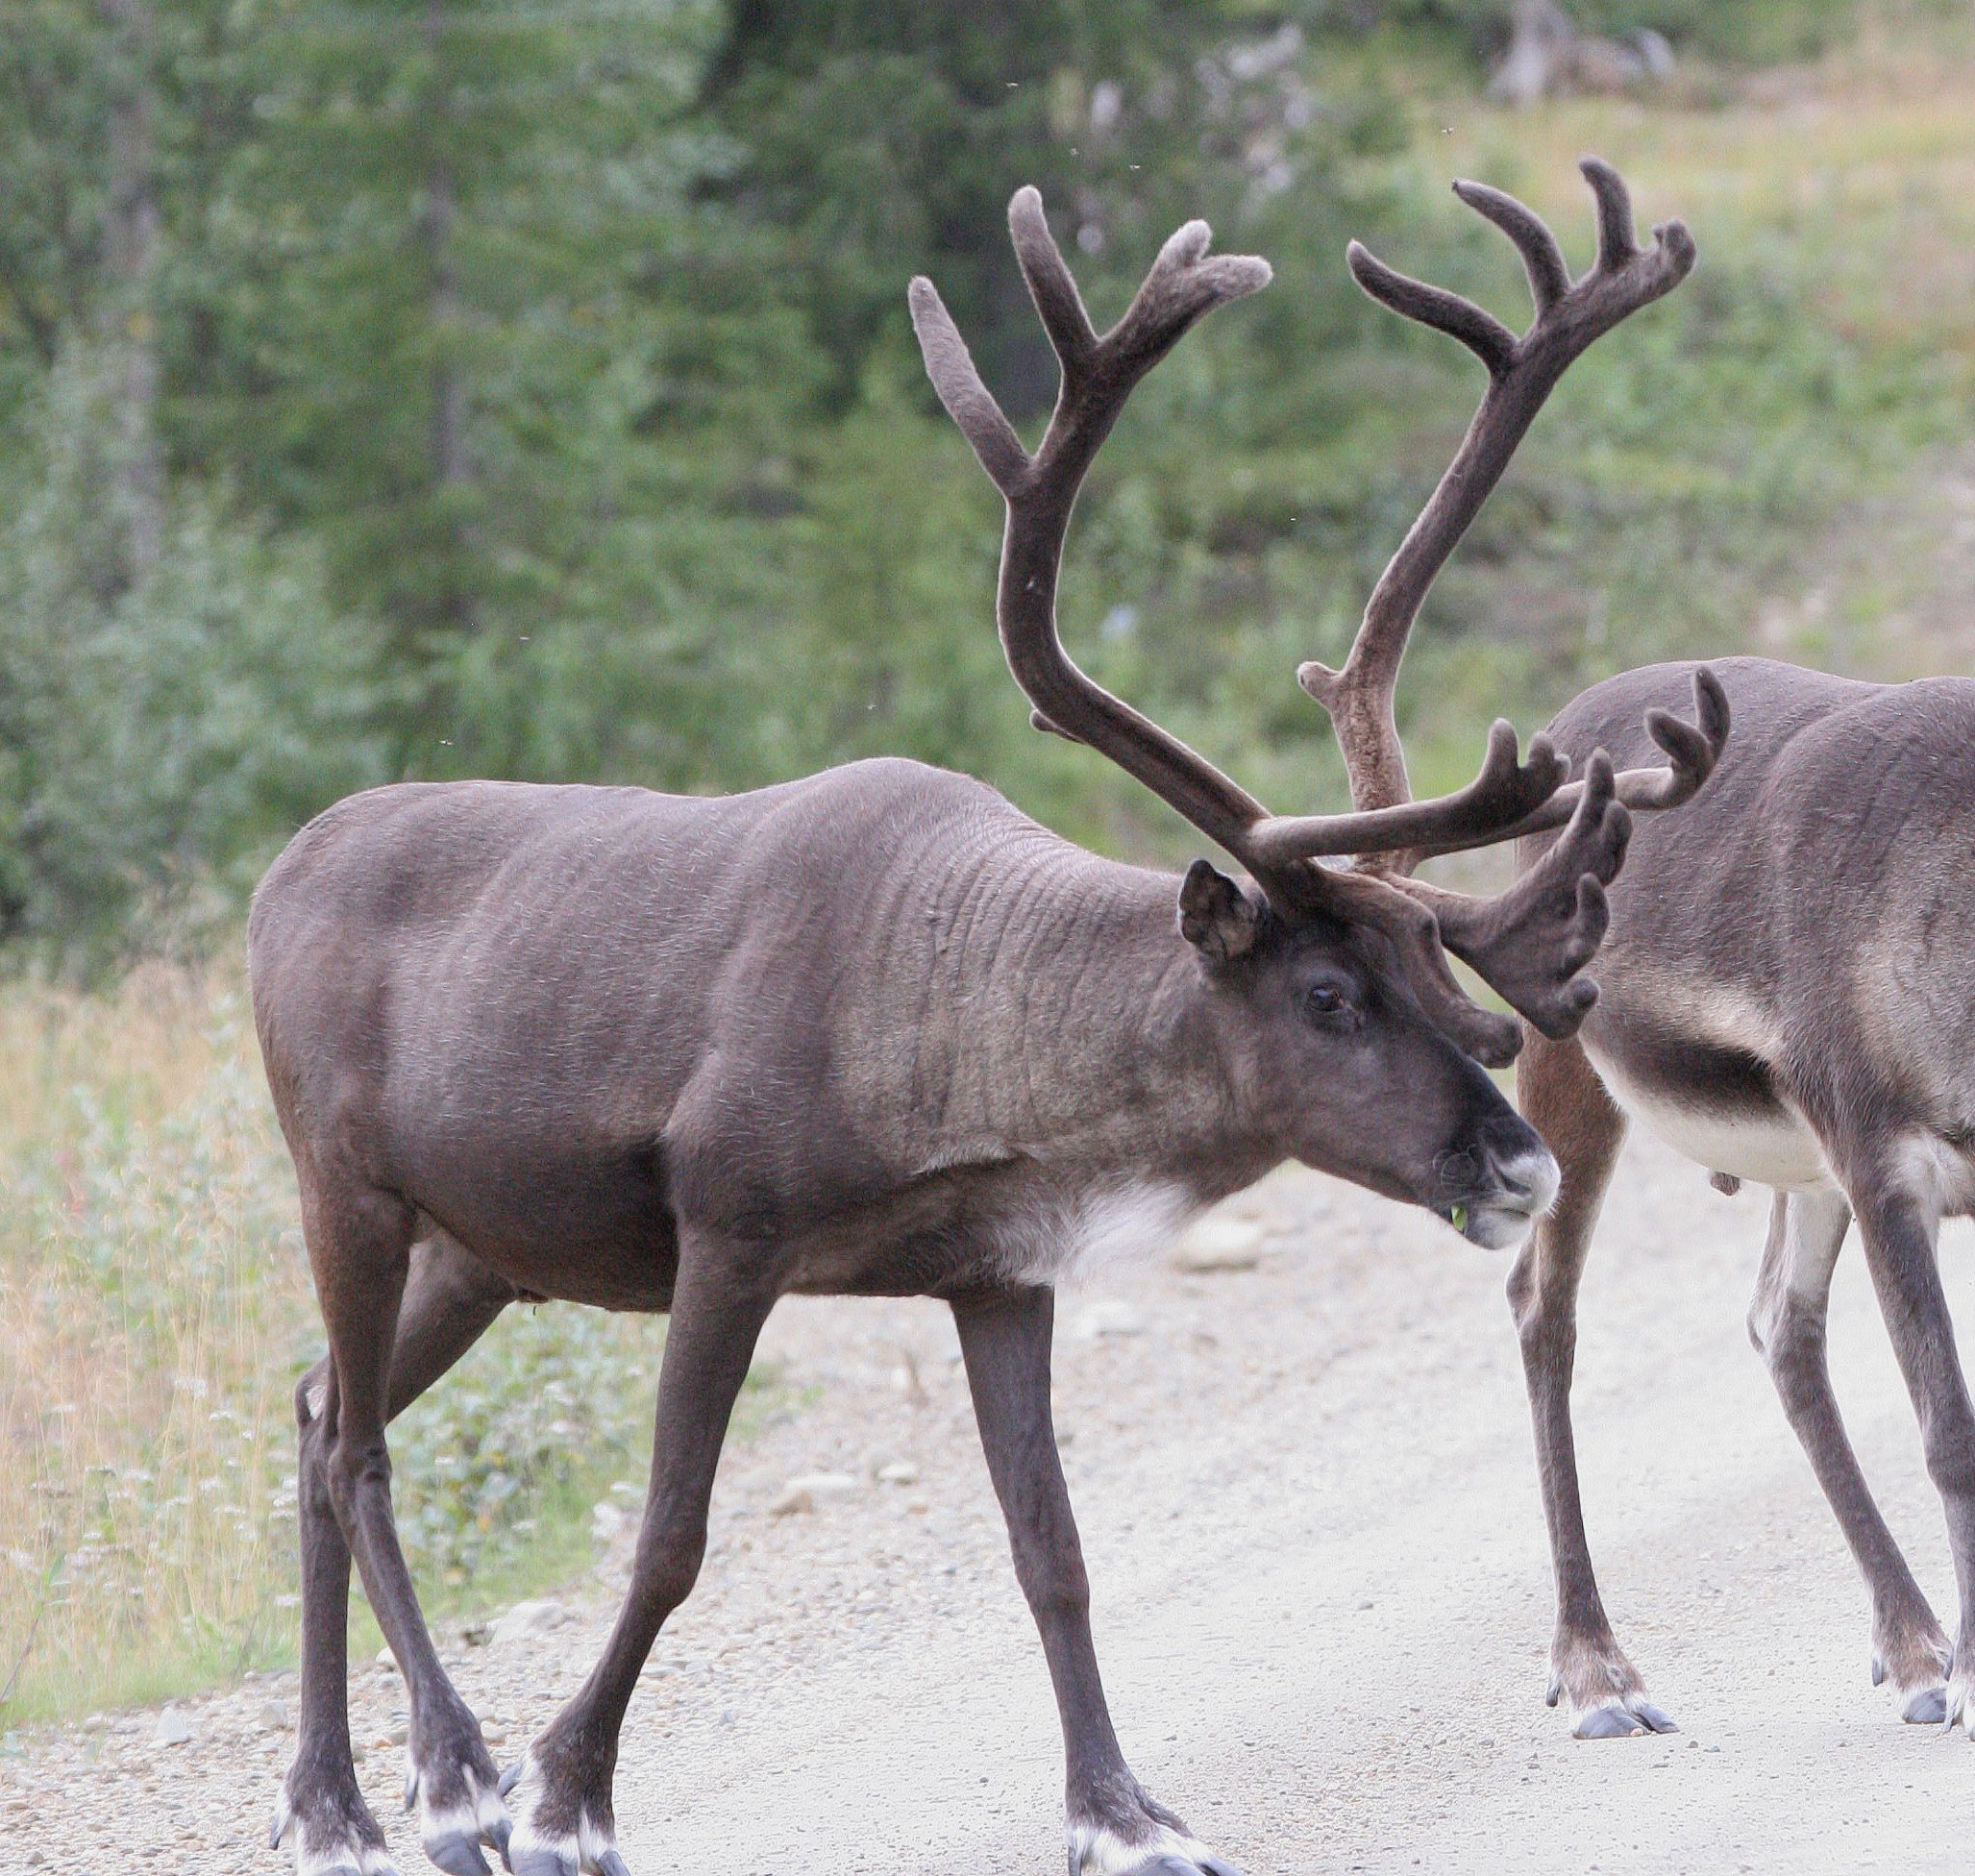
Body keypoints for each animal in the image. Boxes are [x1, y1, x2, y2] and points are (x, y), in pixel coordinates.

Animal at [248, 161, 1714, 1876]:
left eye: (1454, 994)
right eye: (1328, 994)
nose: (1517, 1166)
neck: (964, 1073)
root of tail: (274, 876)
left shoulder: (999, 1271)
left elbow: (1050, 1546)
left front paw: (1123, 1812)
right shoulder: (727, 1231)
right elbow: (673, 1539)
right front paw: (565, 1795)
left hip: (478, 1248)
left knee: (308, 1414)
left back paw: (330, 1800)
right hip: (345, 1185)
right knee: (356, 1447)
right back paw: (448, 1780)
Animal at [1502, 653, 1975, 1743]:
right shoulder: (1884, 1164)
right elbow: (1949, 1436)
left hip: (1801, 1166)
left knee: (1779, 1324)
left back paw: (1914, 1651)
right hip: (1567, 1069)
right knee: (1544, 1305)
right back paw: (1598, 1674)